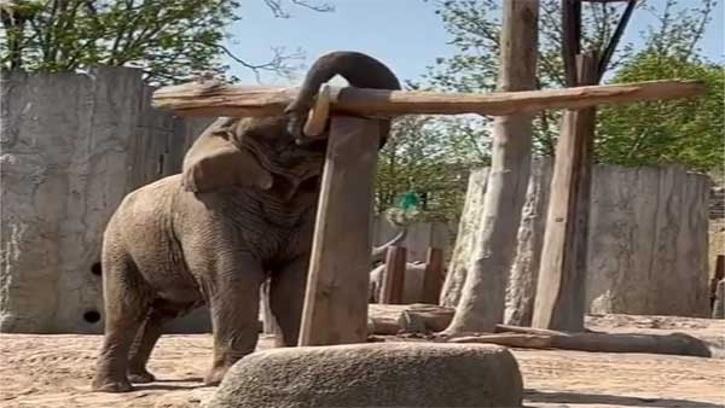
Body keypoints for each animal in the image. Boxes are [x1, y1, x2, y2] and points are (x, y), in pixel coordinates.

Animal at [91, 51, 401, 393]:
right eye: (280, 109)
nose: (300, 112)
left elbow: (291, 283)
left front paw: (285, 363)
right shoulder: (210, 209)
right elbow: (235, 276)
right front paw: (224, 378)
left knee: (162, 313)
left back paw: (139, 378)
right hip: (118, 246)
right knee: (126, 309)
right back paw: (113, 387)